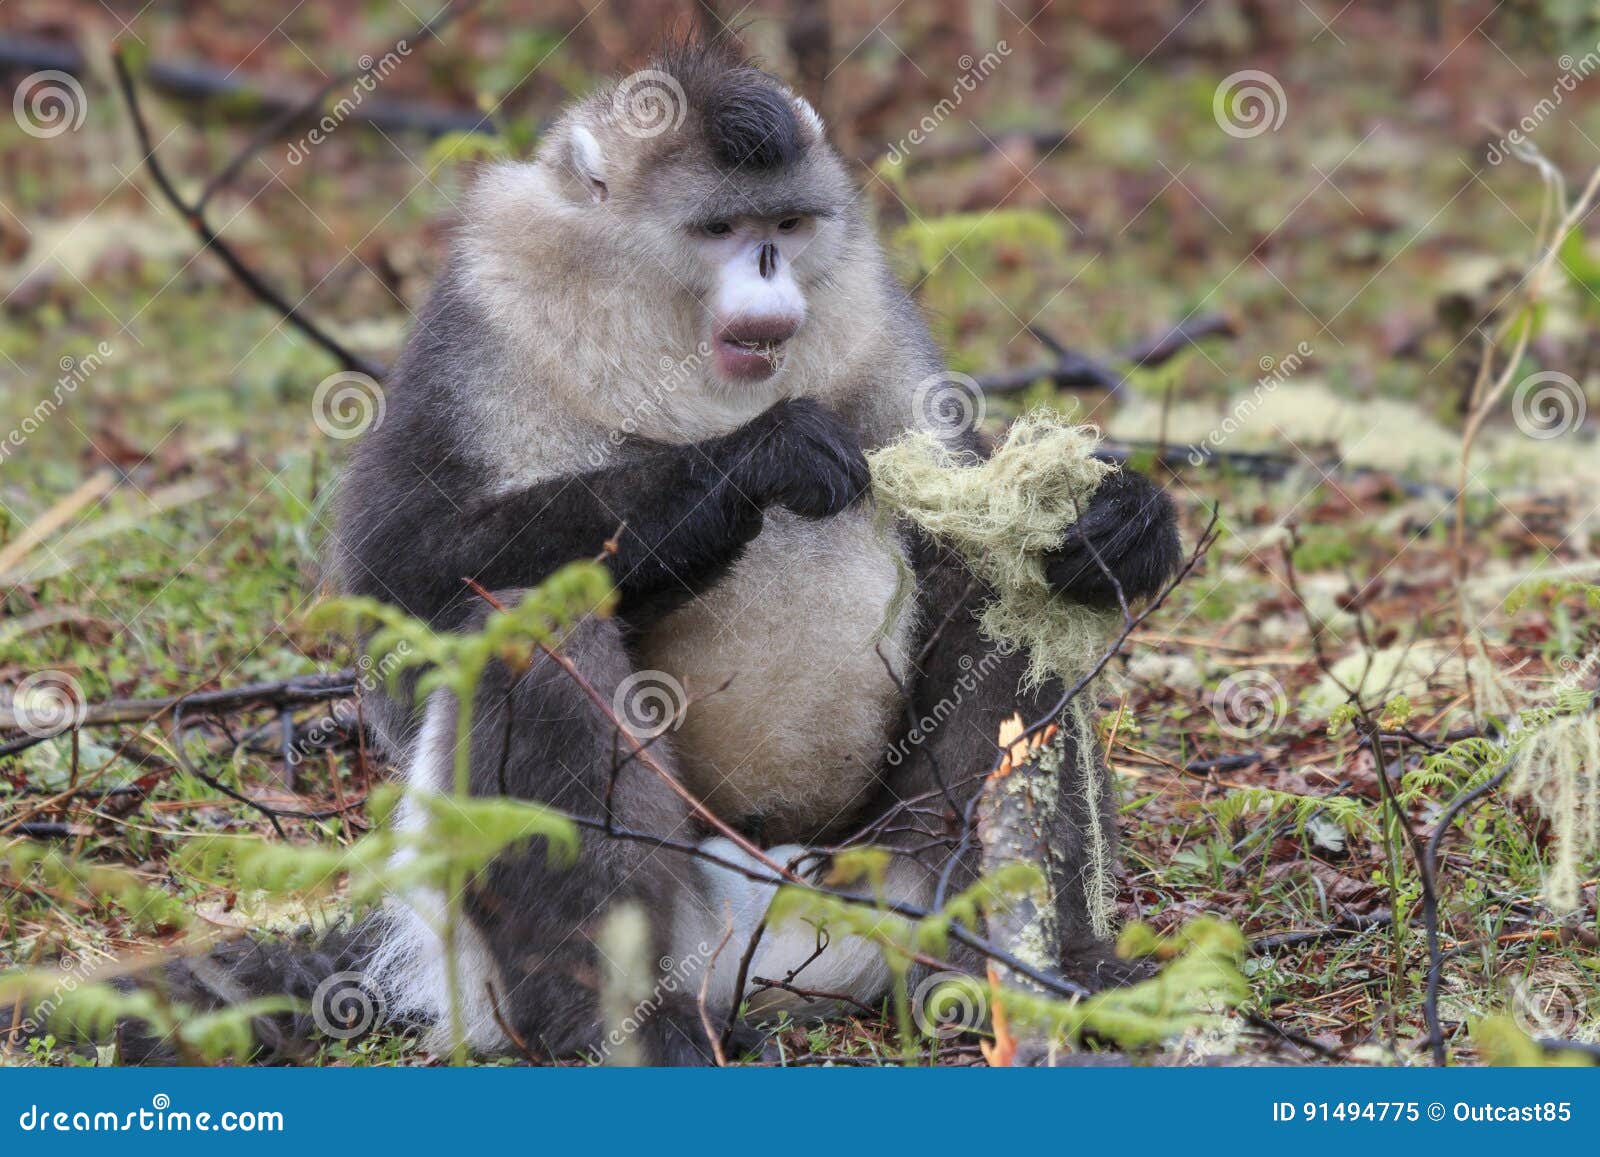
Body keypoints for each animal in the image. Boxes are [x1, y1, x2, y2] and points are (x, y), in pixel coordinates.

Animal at [4, 41, 1180, 1067]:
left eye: (787, 224)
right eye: (722, 229)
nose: (770, 270)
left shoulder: (871, 320)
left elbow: (969, 541)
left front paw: (1118, 520)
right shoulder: (480, 319)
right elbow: (399, 590)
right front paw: (746, 465)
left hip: (869, 866)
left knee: (1018, 592)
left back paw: (1034, 963)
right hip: (504, 944)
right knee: (533, 616)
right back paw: (622, 1026)